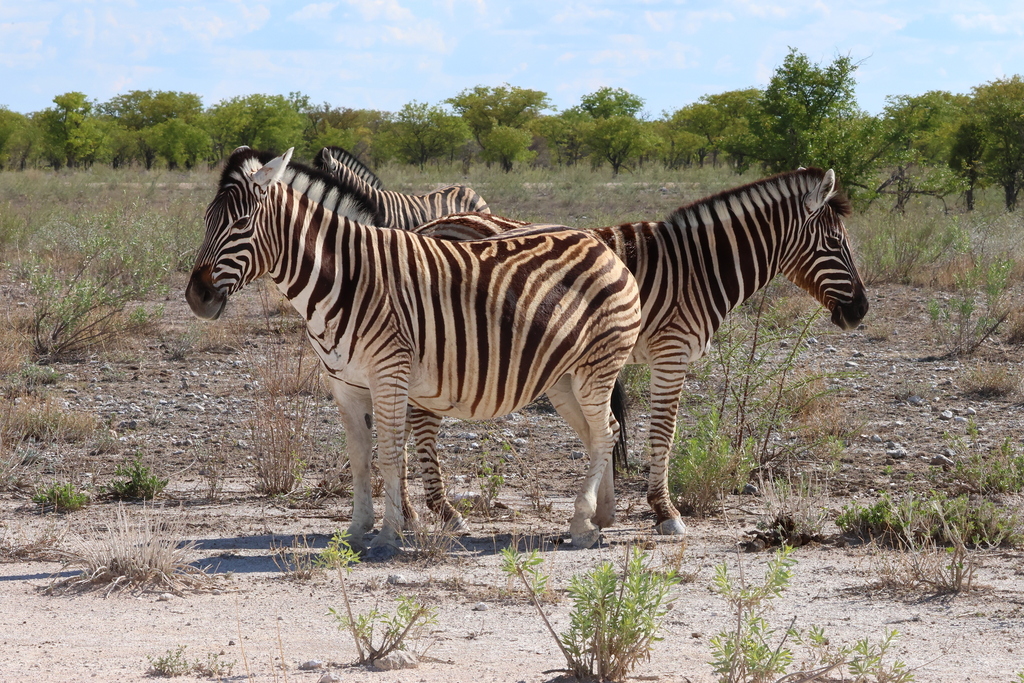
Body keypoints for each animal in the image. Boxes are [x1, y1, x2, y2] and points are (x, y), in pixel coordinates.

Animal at [404, 168, 869, 535]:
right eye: (834, 242)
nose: (861, 311)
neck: (698, 269)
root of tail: (426, 229)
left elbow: (602, 431)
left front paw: (601, 513)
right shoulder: (672, 351)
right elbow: (663, 432)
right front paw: (664, 512)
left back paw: (409, 512)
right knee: (419, 422)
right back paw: (442, 513)